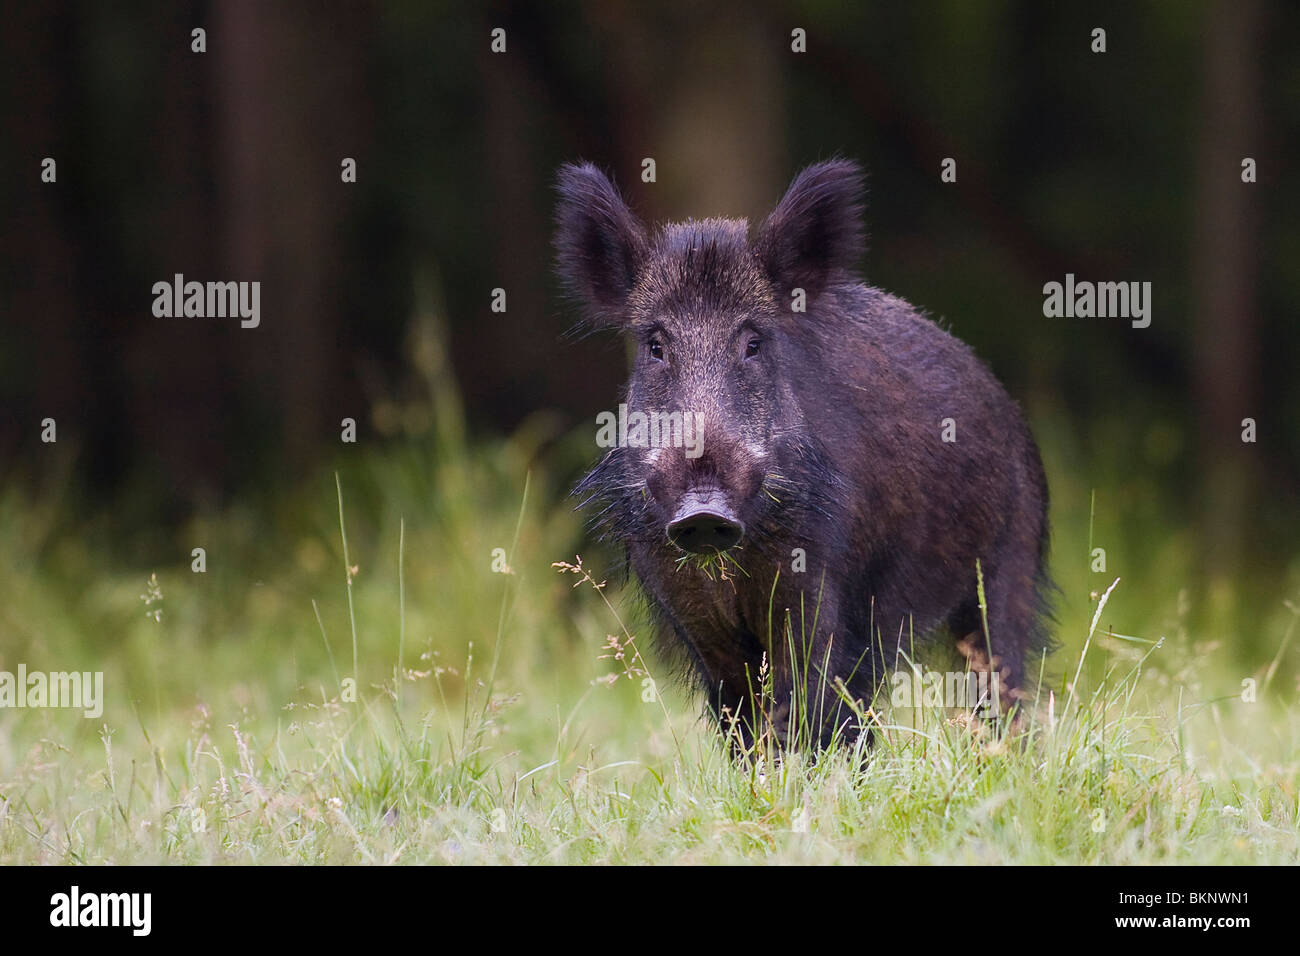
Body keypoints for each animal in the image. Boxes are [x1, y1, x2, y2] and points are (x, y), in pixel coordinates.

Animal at [556, 159, 1054, 751]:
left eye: (753, 343)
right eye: (655, 345)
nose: (704, 510)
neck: (737, 563)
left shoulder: (818, 580)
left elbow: (803, 697)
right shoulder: (682, 598)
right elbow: (739, 713)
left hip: (1011, 553)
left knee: (1000, 671)